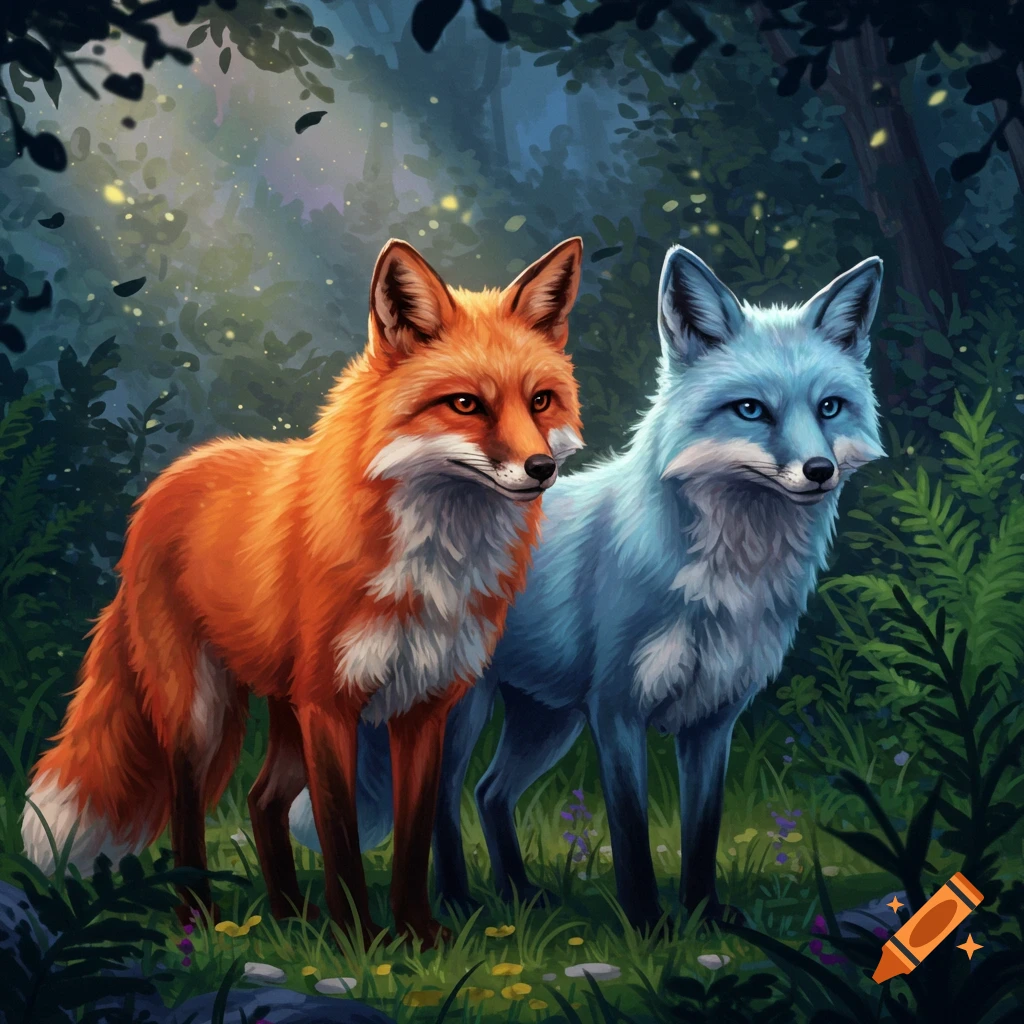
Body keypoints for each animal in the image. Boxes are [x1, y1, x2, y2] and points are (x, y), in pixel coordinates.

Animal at [21, 236, 585, 949]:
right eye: (465, 404)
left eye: (540, 401)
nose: (541, 468)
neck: (433, 566)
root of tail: (170, 478)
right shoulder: (330, 703)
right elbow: (340, 834)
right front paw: (361, 943)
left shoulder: (423, 705)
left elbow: (413, 836)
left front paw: (418, 935)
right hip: (201, 712)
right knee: (186, 804)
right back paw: (197, 916)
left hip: (282, 712)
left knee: (262, 798)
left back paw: (290, 914)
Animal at [290, 244, 885, 933]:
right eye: (750, 410)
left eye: (830, 407)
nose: (820, 470)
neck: (725, 580)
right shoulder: (617, 709)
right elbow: (630, 831)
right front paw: (648, 925)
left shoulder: (713, 719)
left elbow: (702, 832)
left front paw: (704, 915)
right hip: (469, 712)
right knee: (444, 801)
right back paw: (461, 902)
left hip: (547, 723)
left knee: (490, 793)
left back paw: (519, 892)